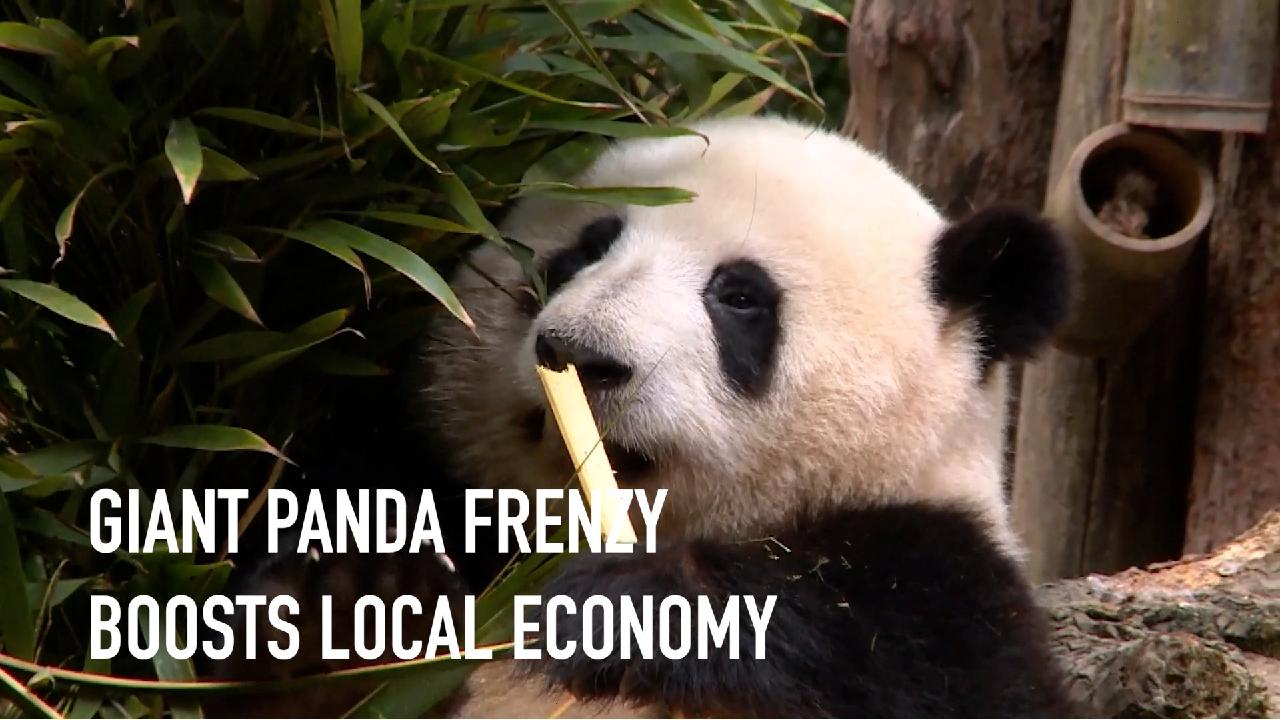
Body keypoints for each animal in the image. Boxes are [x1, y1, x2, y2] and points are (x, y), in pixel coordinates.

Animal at [211, 115, 1075, 718]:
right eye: (585, 249)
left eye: (739, 296)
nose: (577, 352)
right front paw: (349, 609)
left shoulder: (946, 596)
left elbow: (879, 638)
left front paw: (621, 606)